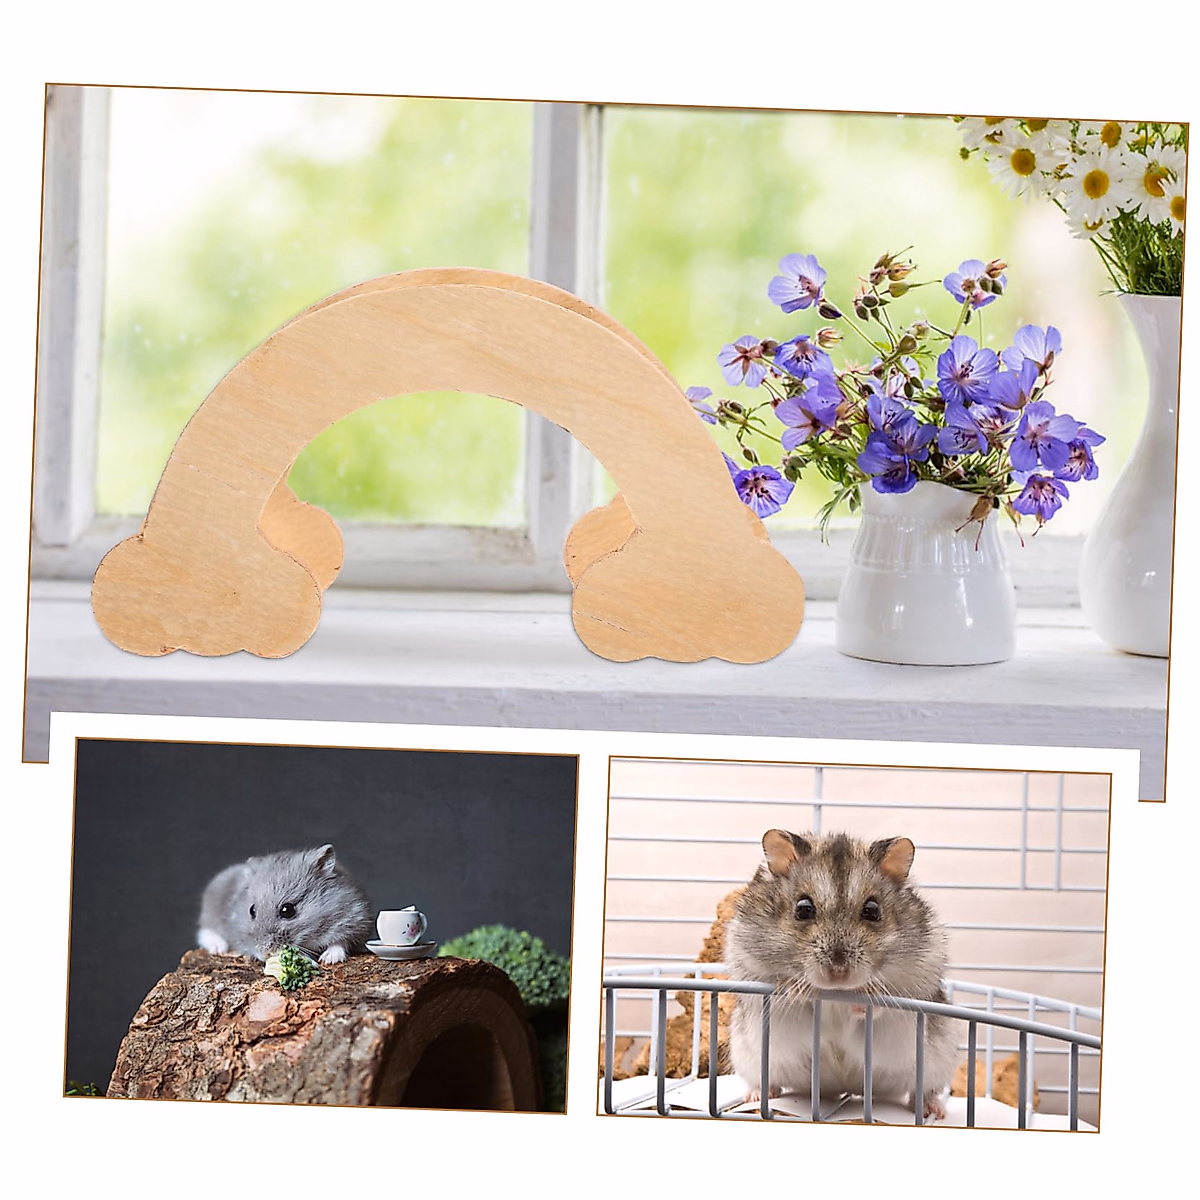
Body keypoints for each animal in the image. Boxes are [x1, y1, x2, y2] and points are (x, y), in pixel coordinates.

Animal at [196, 844, 374, 965]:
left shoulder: (356, 919)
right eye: (251, 910)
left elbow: (341, 942)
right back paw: (218, 948)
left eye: (287, 910)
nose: (265, 954)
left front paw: (329, 959)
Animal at [725, 829, 956, 1121]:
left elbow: (881, 1005)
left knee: (921, 1091)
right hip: (750, 1057)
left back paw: (932, 1109)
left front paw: (863, 997)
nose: (838, 973)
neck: (837, 994)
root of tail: (846, 1090)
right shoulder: (756, 979)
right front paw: (800, 989)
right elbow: (788, 992)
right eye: (803, 908)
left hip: (936, 1064)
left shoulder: (913, 984)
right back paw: (757, 1095)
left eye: (872, 910)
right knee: (764, 1081)